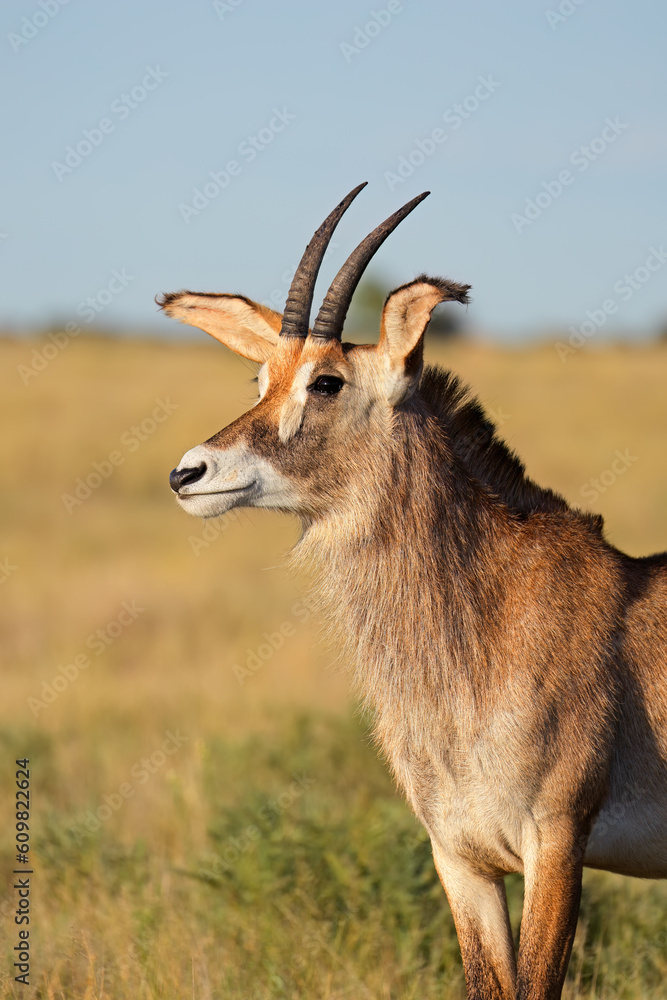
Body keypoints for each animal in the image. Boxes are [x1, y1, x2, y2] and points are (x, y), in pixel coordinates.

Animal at [161, 183, 667, 1000]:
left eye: (326, 381)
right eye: (259, 380)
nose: (188, 473)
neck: (489, 625)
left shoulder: (557, 842)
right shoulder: (459, 857)